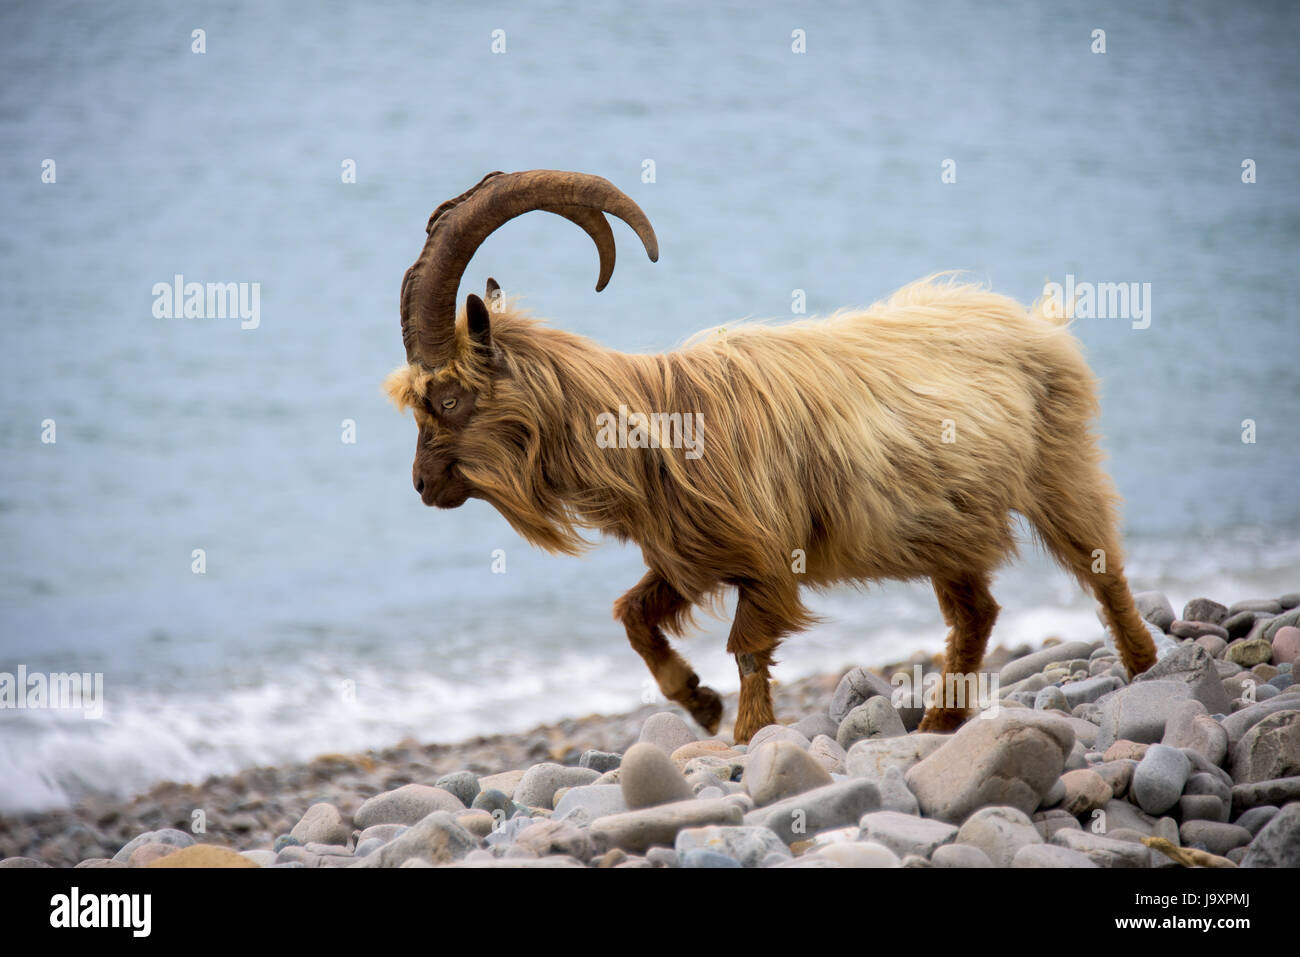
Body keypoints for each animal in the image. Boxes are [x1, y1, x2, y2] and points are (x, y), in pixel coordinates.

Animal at [384, 169, 1157, 743]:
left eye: (446, 398)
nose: (422, 485)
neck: (655, 426)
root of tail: (1036, 323)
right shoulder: (689, 553)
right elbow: (633, 614)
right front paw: (698, 703)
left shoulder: (764, 557)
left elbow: (749, 646)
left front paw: (747, 736)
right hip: (949, 526)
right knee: (978, 612)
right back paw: (943, 719)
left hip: (1057, 465)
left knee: (1100, 565)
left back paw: (1144, 666)